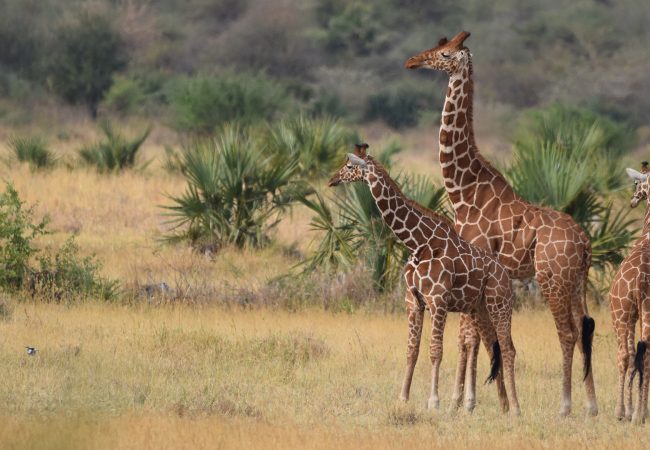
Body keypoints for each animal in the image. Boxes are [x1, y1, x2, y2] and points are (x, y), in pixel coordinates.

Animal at [328, 143, 520, 415]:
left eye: (348, 166)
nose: (331, 179)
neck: (418, 243)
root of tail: (505, 275)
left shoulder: (438, 300)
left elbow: (435, 351)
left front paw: (434, 401)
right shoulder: (414, 302)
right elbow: (412, 350)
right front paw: (402, 398)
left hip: (500, 303)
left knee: (508, 348)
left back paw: (515, 408)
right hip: (478, 308)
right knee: (486, 345)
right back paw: (496, 405)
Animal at [405, 31, 598, 417]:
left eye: (445, 54)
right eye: (435, 46)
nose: (413, 62)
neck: (463, 189)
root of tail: (585, 243)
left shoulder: (471, 267)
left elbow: (468, 337)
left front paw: (460, 402)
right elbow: (478, 336)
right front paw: (492, 401)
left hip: (552, 278)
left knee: (567, 332)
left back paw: (565, 405)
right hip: (575, 281)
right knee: (585, 327)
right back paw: (592, 405)